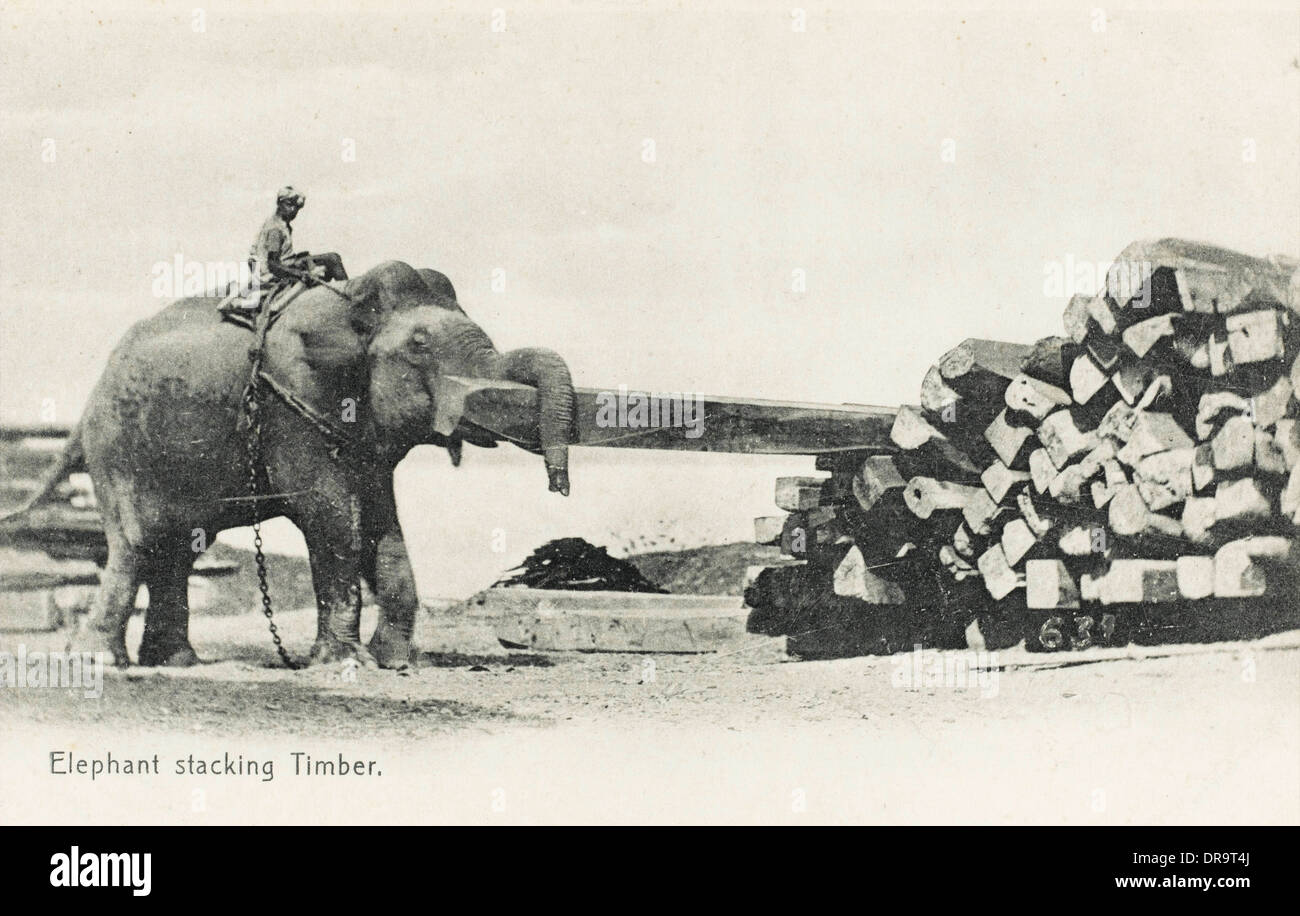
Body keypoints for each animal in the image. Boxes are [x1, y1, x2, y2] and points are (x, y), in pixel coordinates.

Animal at [14, 260, 576, 668]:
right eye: (420, 345)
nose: (560, 486)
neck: (350, 305)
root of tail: (89, 399)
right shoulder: (292, 405)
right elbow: (333, 519)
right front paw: (346, 664)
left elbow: (384, 527)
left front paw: (393, 663)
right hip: (119, 452)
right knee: (136, 543)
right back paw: (101, 662)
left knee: (179, 550)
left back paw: (176, 661)